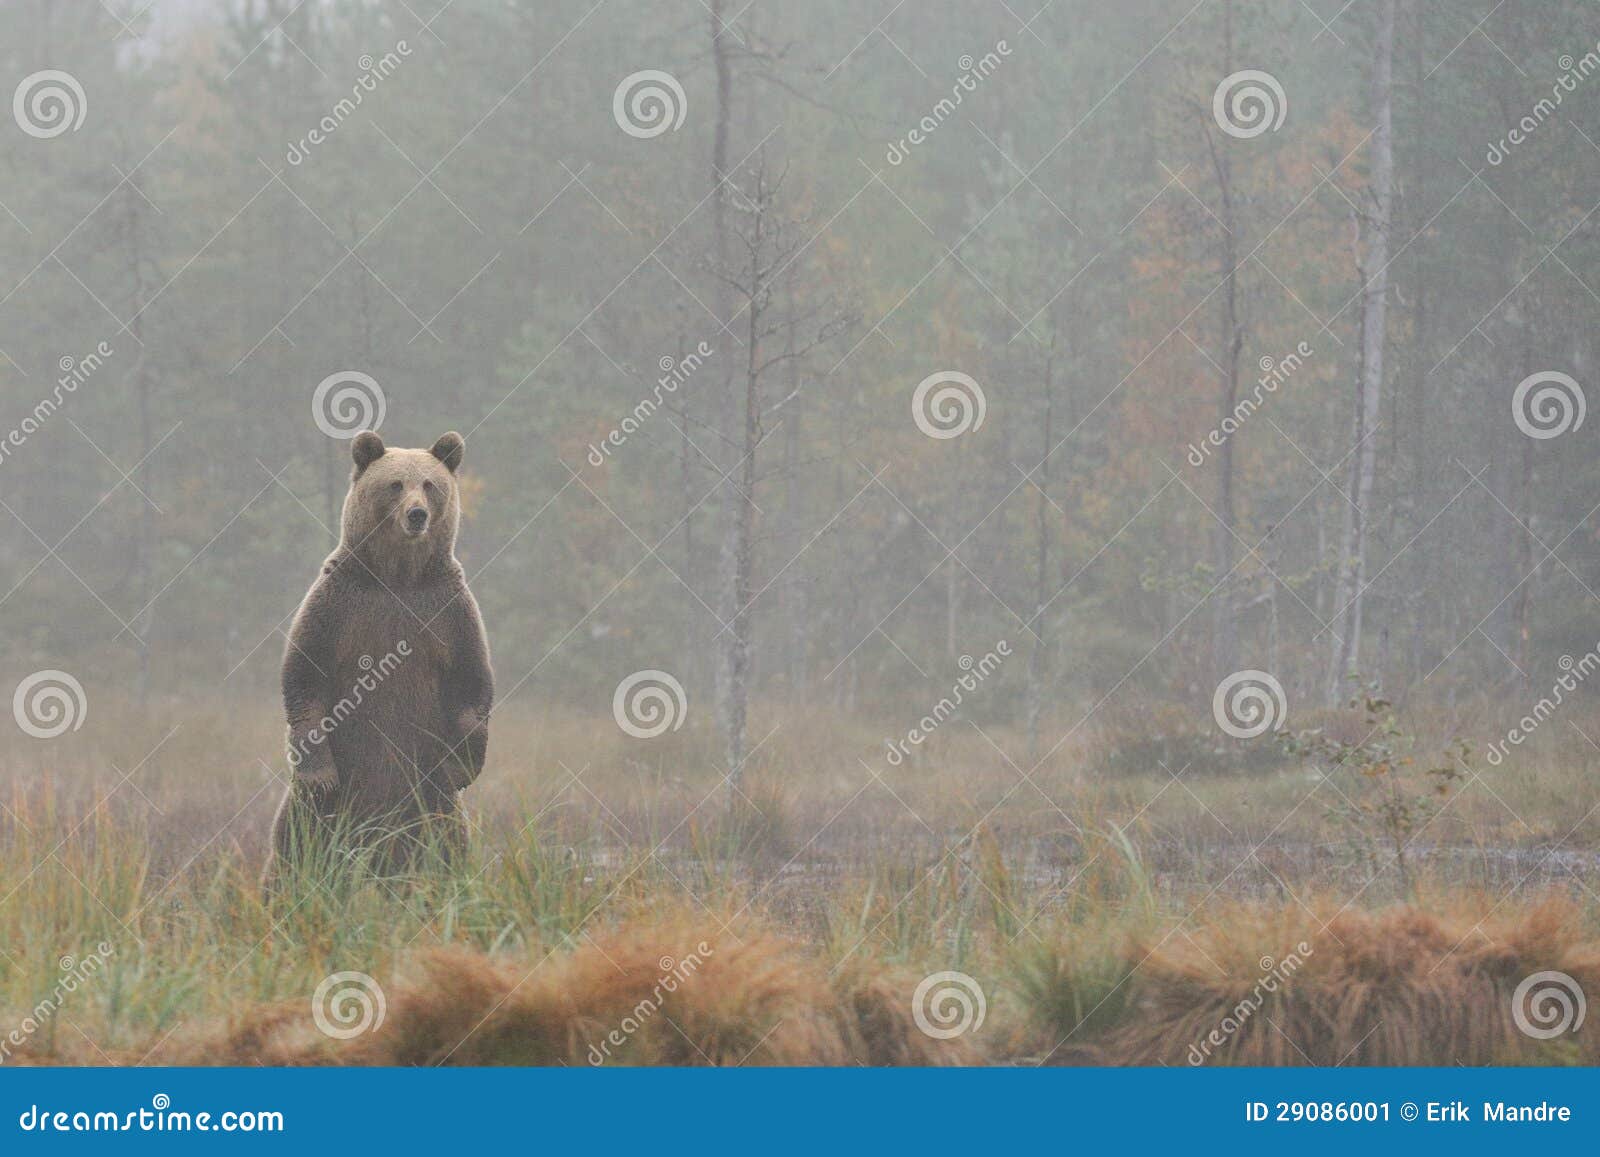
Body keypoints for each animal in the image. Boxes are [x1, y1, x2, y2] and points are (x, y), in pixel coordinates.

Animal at [266, 429, 493, 883]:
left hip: (431, 806)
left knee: (447, 849)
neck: (397, 577)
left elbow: (472, 679)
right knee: (293, 848)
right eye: (395, 484)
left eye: (430, 484)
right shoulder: (339, 604)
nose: (417, 515)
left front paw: (461, 767)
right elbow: (304, 673)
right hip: (317, 813)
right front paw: (320, 774)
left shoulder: (448, 608)